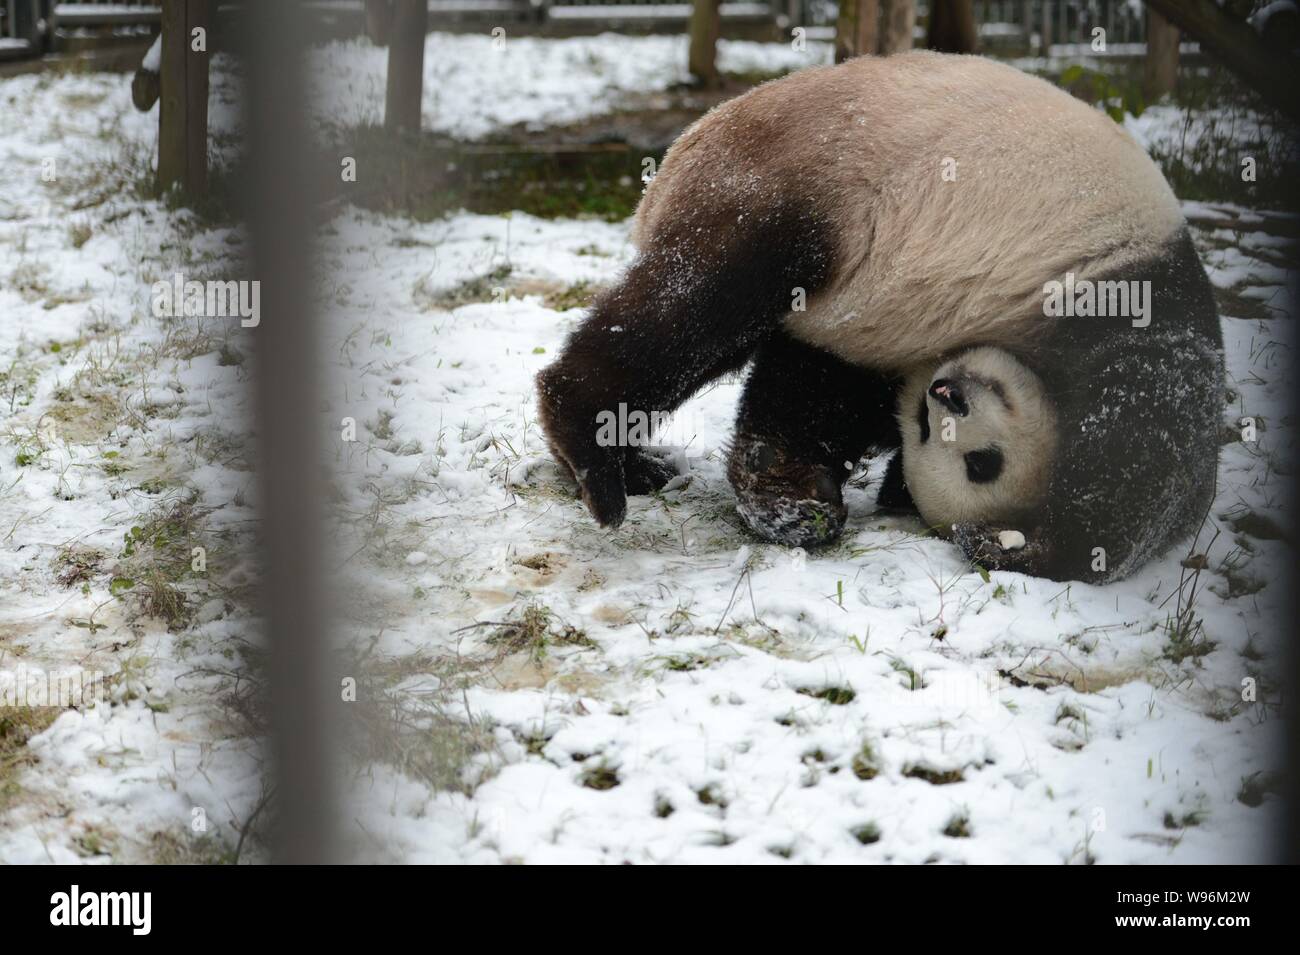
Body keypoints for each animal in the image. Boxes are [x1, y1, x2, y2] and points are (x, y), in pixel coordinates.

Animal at [536, 50, 1224, 583]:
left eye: (978, 461)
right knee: (695, 311)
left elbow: (809, 393)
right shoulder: (1113, 292)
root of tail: (682, 151)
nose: (949, 395)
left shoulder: (884, 343)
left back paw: (627, 461)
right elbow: (1147, 450)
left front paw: (792, 497)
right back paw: (596, 454)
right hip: (790, 187)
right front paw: (1023, 547)